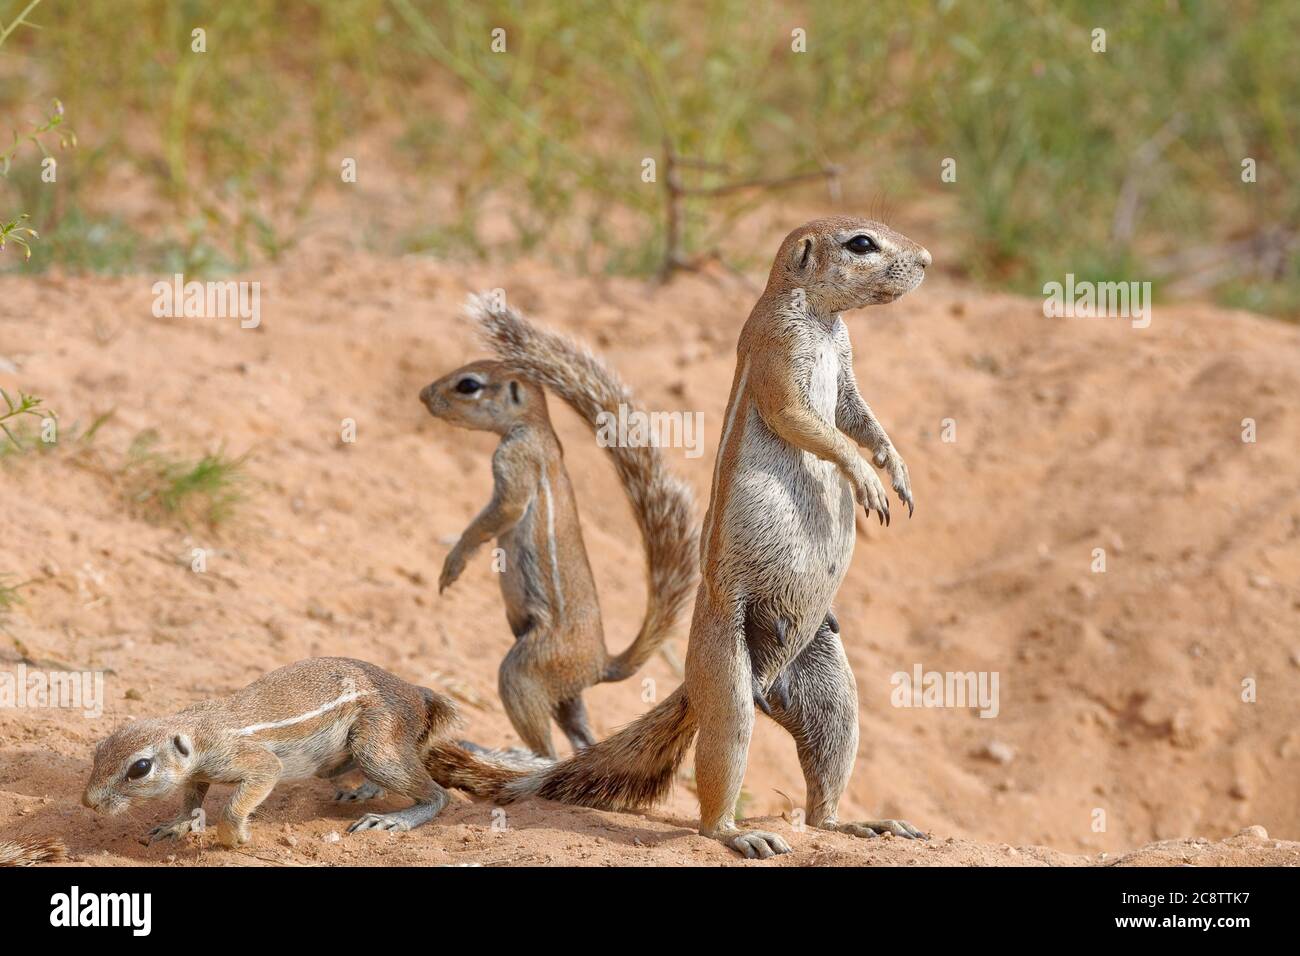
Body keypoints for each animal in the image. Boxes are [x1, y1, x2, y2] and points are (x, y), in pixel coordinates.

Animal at [81, 657, 548, 848]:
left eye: (140, 768)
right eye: (98, 749)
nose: (88, 802)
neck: (196, 728)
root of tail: (417, 693)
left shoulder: (252, 761)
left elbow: (239, 800)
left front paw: (235, 837)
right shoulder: (198, 772)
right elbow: (192, 799)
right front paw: (177, 824)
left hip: (375, 742)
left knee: (438, 795)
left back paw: (393, 818)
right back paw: (362, 790)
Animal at [418, 293, 698, 758]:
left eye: (468, 385)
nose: (423, 395)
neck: (535, 429)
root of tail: (601, 664)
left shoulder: (515, 467)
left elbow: (497, 515)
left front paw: (453, 563)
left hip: (527, 669)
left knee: (546, 743)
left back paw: (502, 754)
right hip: (567, 695)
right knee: (581, 735)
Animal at [484, 218, 931, 858]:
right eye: (862, 243)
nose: (927, 260)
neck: (819, 316)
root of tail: (765, 681)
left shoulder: (844, 371)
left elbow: (860, 417)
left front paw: (896, 468)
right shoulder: (780, 352)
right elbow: (809, 422)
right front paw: (865, 479)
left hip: (827, 684)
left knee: (823, 780)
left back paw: (856, 823)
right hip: (727, 671)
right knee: (722, 759)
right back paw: (739, 834)